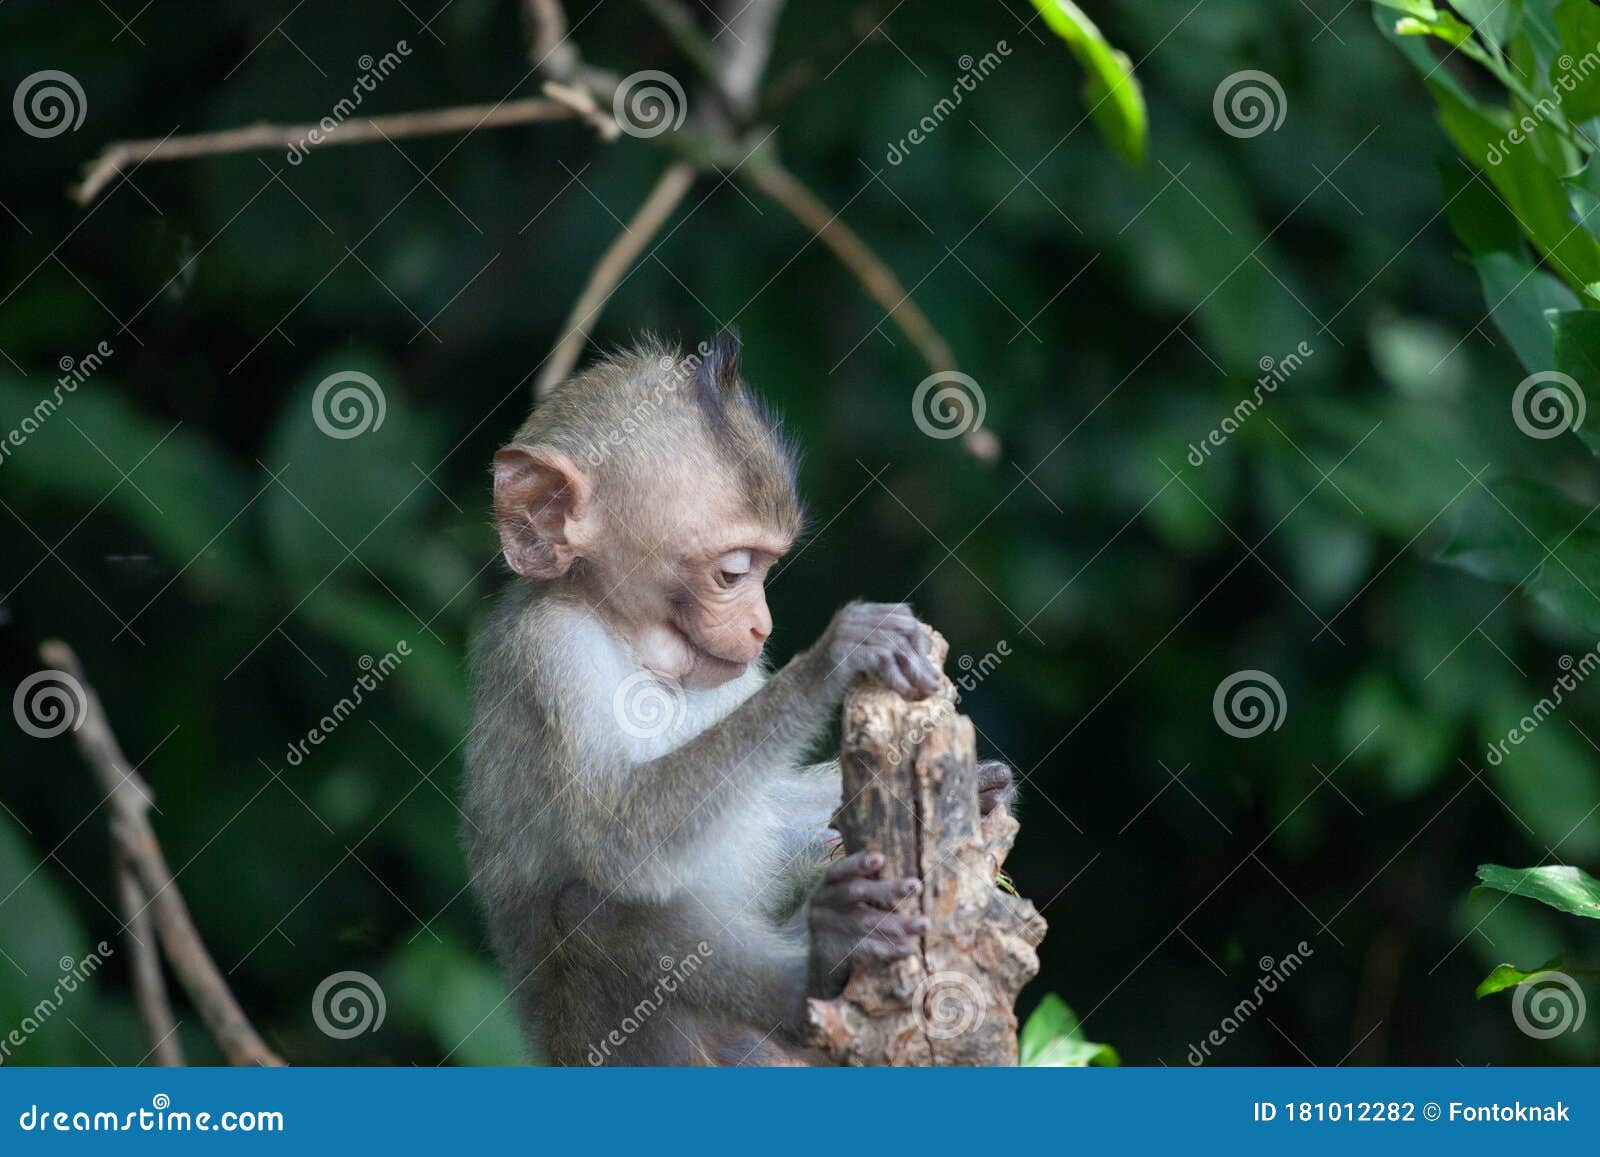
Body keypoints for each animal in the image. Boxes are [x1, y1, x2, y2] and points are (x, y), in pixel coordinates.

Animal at [462, 329, 1015, 1065]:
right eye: (731, 574)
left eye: (769, 567)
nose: (763, 627)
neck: (646, 654)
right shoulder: (551, 651)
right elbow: (615, 837)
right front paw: (830, 661)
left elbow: (765, 807)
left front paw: (982, 790)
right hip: (605, 1047)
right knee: (594, 907)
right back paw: (821, 964)